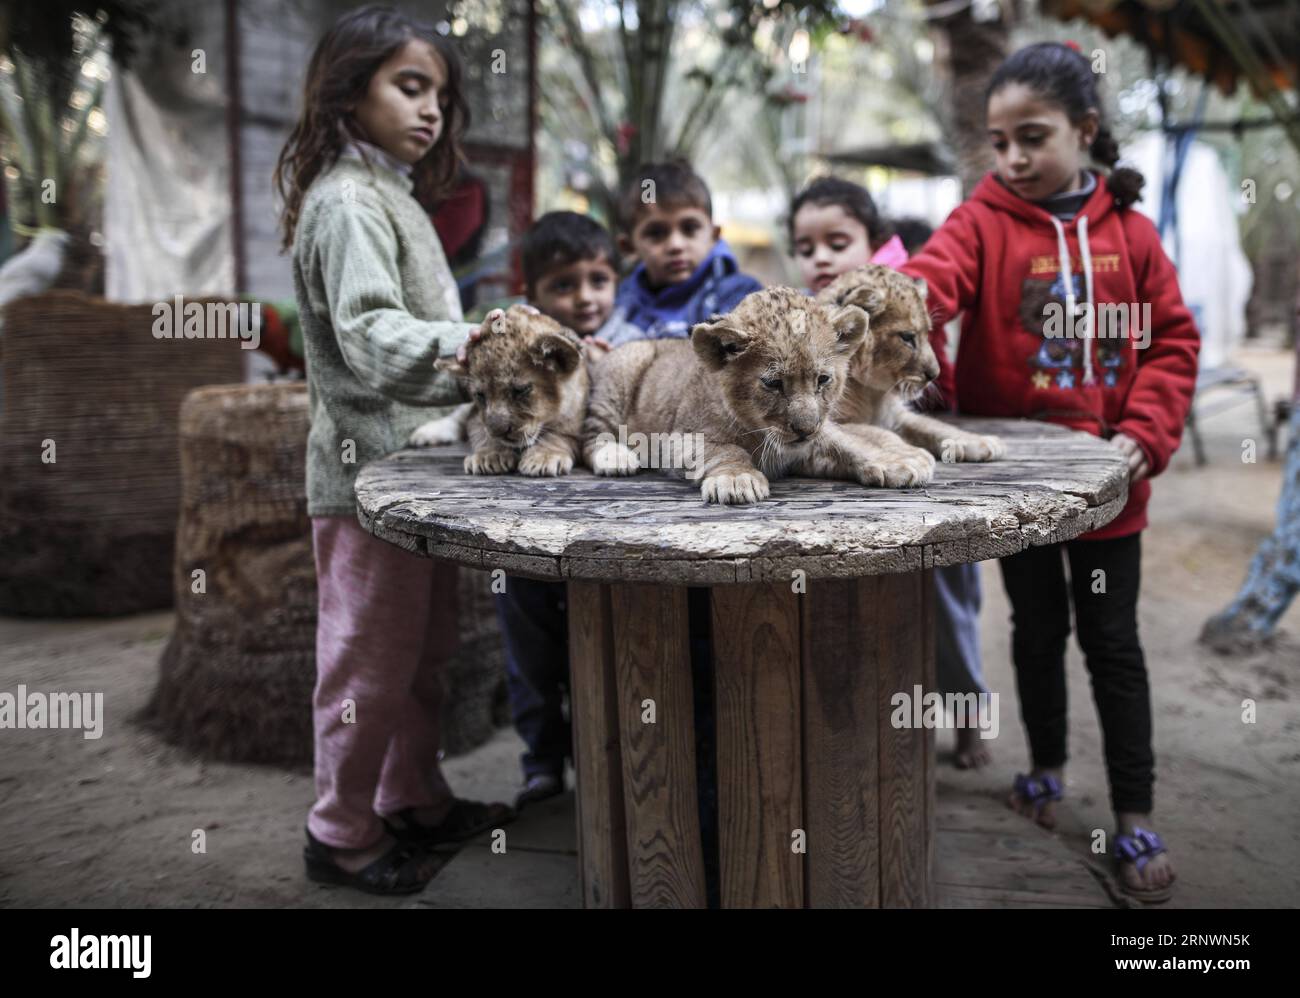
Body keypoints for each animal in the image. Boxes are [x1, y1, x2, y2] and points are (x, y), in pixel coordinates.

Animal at [412, 305, 588, 476]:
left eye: (521, 390)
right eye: (480, 395)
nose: (499, 431)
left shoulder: (578, 417)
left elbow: (559, 435)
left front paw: (543, 457)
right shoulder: (477, 417)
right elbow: (482, 433)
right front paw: (490, 456)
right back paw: (424, 435)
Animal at [581, 286, 934, 505]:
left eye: (822, 380)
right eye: (774, 383)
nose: (805, 429)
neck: (759, 429)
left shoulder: (807, 449)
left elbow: (847, 443)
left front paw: (895, 462)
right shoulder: (679, 437)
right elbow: (724, 449)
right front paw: (738, 479)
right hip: (623, 373)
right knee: (591, 435)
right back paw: (616, 458)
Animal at [816, 264, 1006, 464]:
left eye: (928, 333)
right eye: (907, 337)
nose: (934, 375)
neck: (872, 394)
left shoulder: (896, 415)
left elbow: (931, 425)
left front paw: (982, 441)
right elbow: (878, 432)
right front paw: (912, 457)